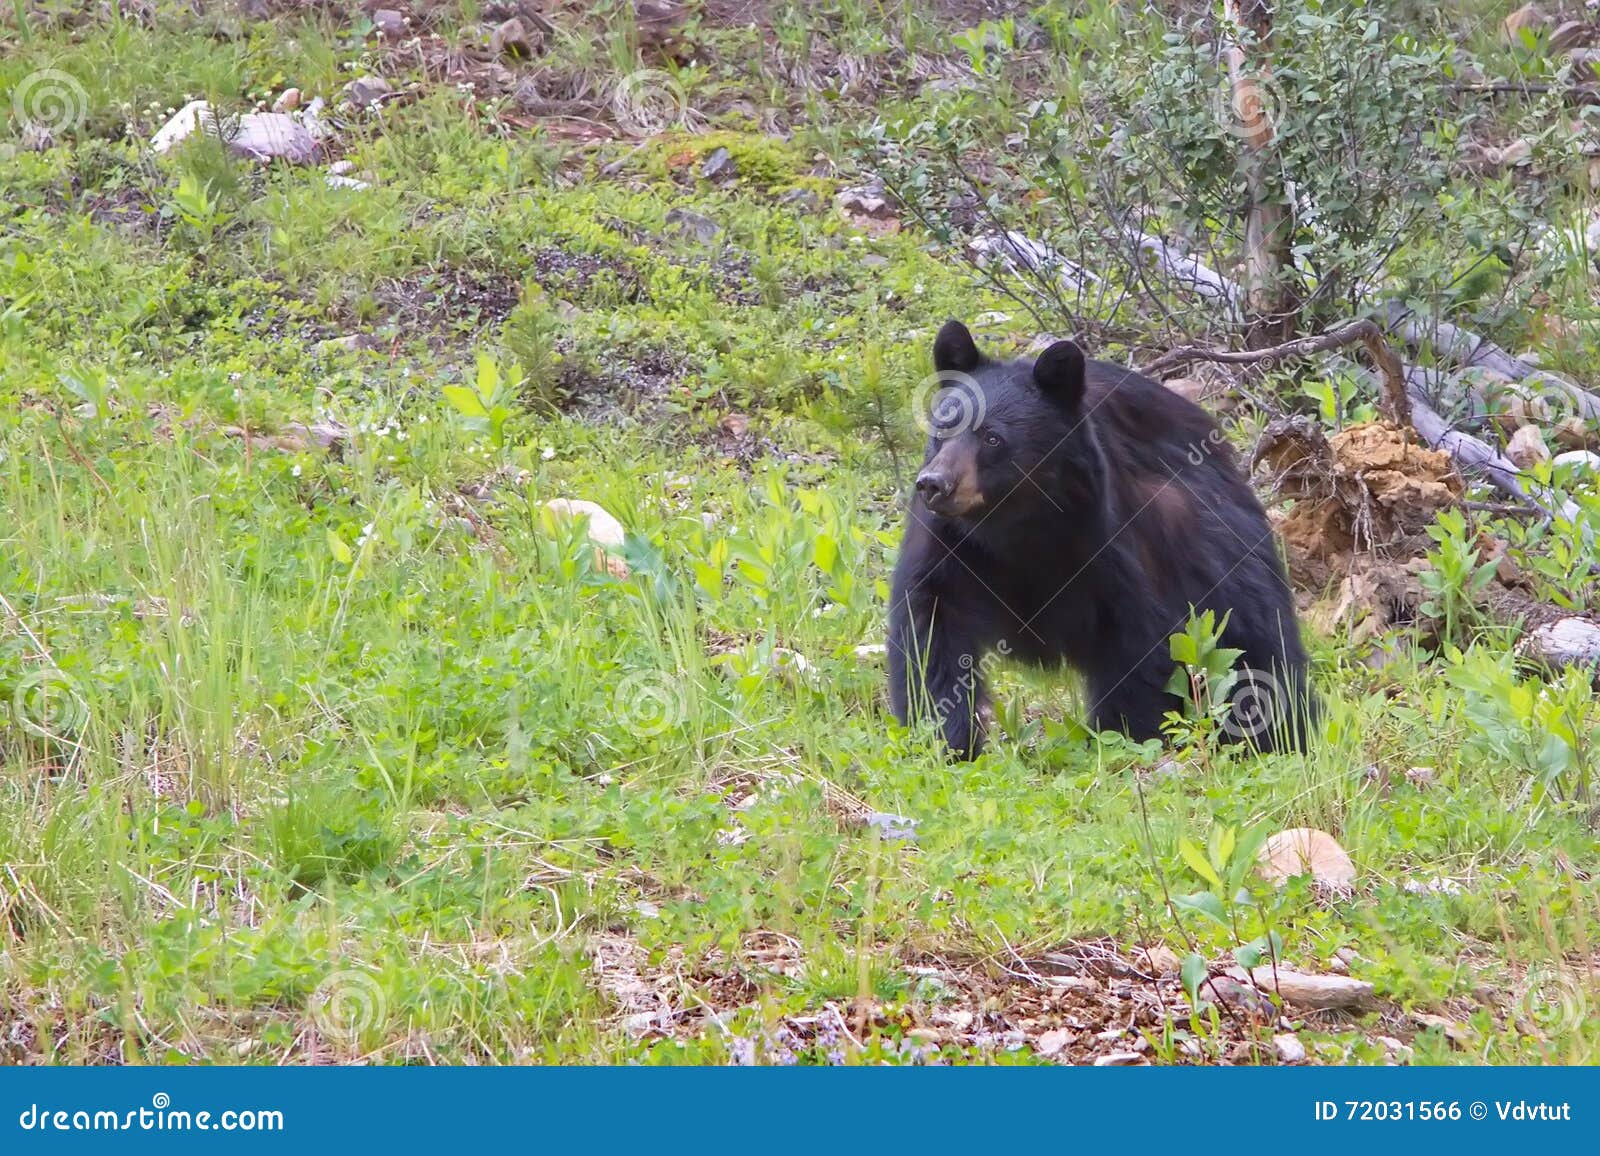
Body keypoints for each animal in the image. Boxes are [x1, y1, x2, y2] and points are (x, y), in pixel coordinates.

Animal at [887, 319, 1312, 759]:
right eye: (943, 429)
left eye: (992, 438)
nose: (934, 484)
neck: (1016, 521)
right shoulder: (948, 544)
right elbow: (931, 629)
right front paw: (946, 738)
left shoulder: (1108, 537)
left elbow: (1135, 639)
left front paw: (1124, 736)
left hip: (1223, 551)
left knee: (1259, 651)